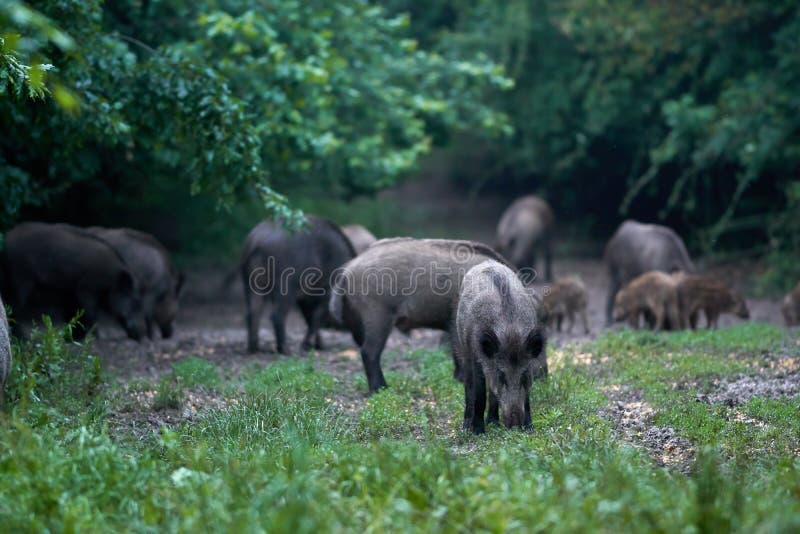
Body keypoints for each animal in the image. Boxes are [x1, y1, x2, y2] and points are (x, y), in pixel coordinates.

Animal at [1, 222, 146, 340]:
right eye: (136, 302)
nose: (142, 335)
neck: (111, 281)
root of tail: (7, 238)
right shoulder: (86, 289)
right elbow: (90, 313)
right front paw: (92, 338)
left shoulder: (70, 292)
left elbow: (72, 314)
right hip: (22, 278)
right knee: (15, 306)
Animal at [241, 215, 355, 354]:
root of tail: (257, 239)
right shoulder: (325, 294)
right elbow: (316, 319)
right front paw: (306, 345)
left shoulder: (305, 299)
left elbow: (309, 319)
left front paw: (318, 345)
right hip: (284, 288)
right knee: (276, 315)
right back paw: (285, 349)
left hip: (250, 284)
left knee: (252, 312)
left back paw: (254, 348)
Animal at [329, 238, 510, 392]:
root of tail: (347, 270)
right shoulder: (455, 321)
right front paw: (460, 380)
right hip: (377, 316)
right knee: (369, 352)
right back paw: (381, 388)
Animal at [454, 260, 547, 434]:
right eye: (501, 375)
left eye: (524, 374)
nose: (515, 424)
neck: (511, 331)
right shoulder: (478, 358)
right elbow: (479, 393)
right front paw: (478, 431)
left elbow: (526, 397)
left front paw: (529, 428)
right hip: (465, 348)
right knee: (469, 385)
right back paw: (467, 426)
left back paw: (494, 422)